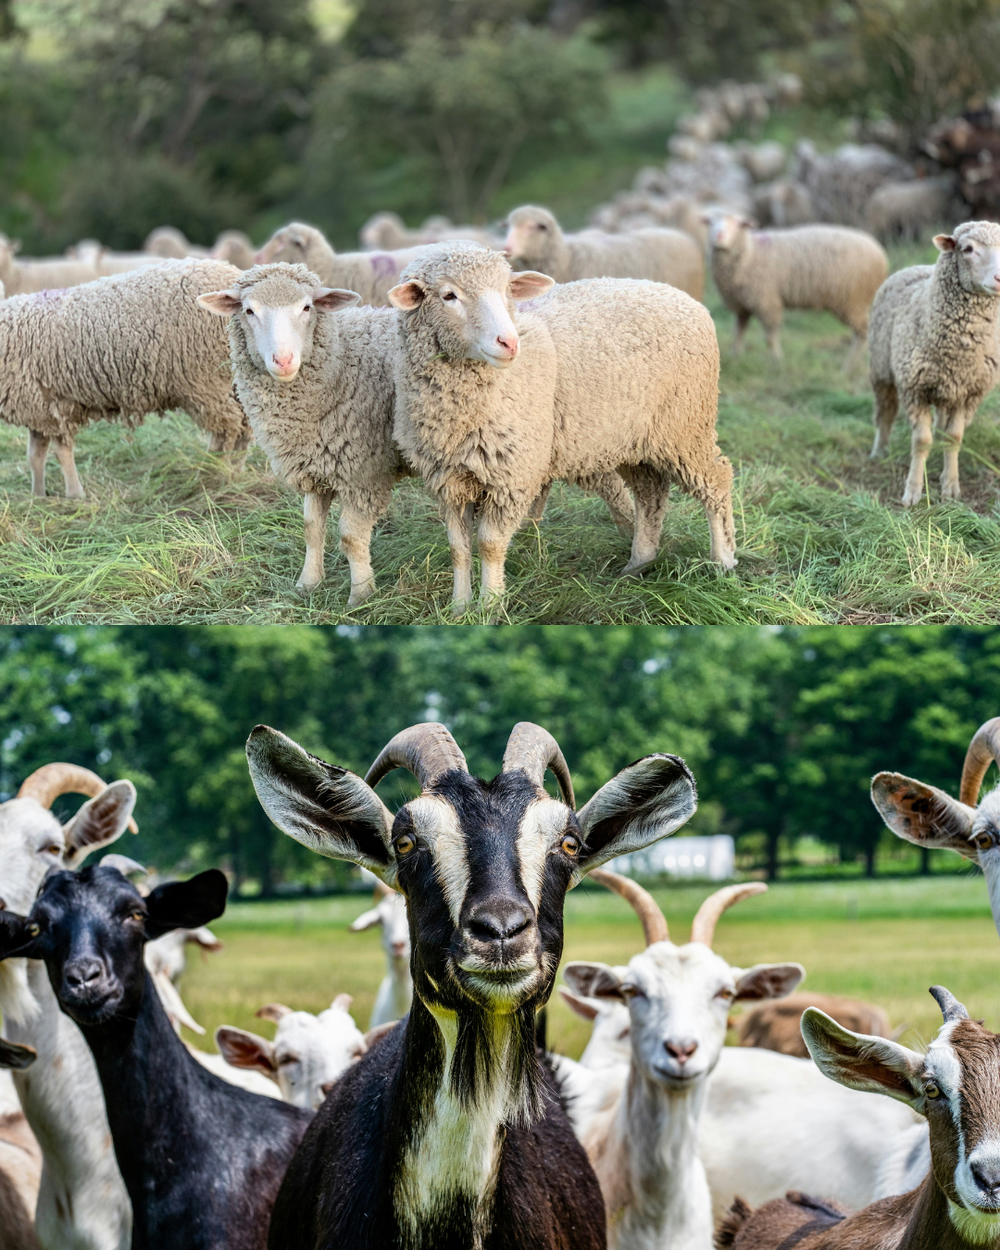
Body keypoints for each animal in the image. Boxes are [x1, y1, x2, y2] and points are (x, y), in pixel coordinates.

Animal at [0, 259, 251, 500]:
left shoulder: (54, 406)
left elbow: (61, 453)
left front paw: (74, 495)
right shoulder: (38, 407)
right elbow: (35, 455)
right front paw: (38, 496)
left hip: (206, 382)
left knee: (226, 430)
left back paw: (212, 472)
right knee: (244, 427)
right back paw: (233, 471)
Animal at [389, 242, 735, 608]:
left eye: (507, 290)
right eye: (449, 296)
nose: (509, 342)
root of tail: (685, 299)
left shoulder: (512, 476)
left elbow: (489, 545)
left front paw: (490, 606)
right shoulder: (449, 480)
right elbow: (458, 548)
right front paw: (459, 607)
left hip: (686, 427)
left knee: (716, 482)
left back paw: (723, 561)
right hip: (635, 438)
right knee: (650, 495)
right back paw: (639, 562)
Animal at [702, 211, 888, 364]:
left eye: (738, 224)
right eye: (711, 223)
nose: (719, 235)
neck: (750, 253)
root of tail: (880, 253)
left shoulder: (766, 300)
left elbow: (770, 336)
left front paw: (776, 361)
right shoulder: (742, 305)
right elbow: (738, 332)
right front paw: (736, 357)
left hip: (852, 300)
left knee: (863, 332)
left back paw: (849, 368)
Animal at [868, 220, 1000, 505]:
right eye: (967, 249)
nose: (999, 278)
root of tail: (916, 266)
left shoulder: (967, 392)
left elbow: (954, 437)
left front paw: (950, 486)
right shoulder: (913, 389)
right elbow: (921, 441)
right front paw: (913, 491)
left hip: (946, 389)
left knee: (940, 421)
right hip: (881, 369)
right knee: (885, 412)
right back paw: (879, 450)